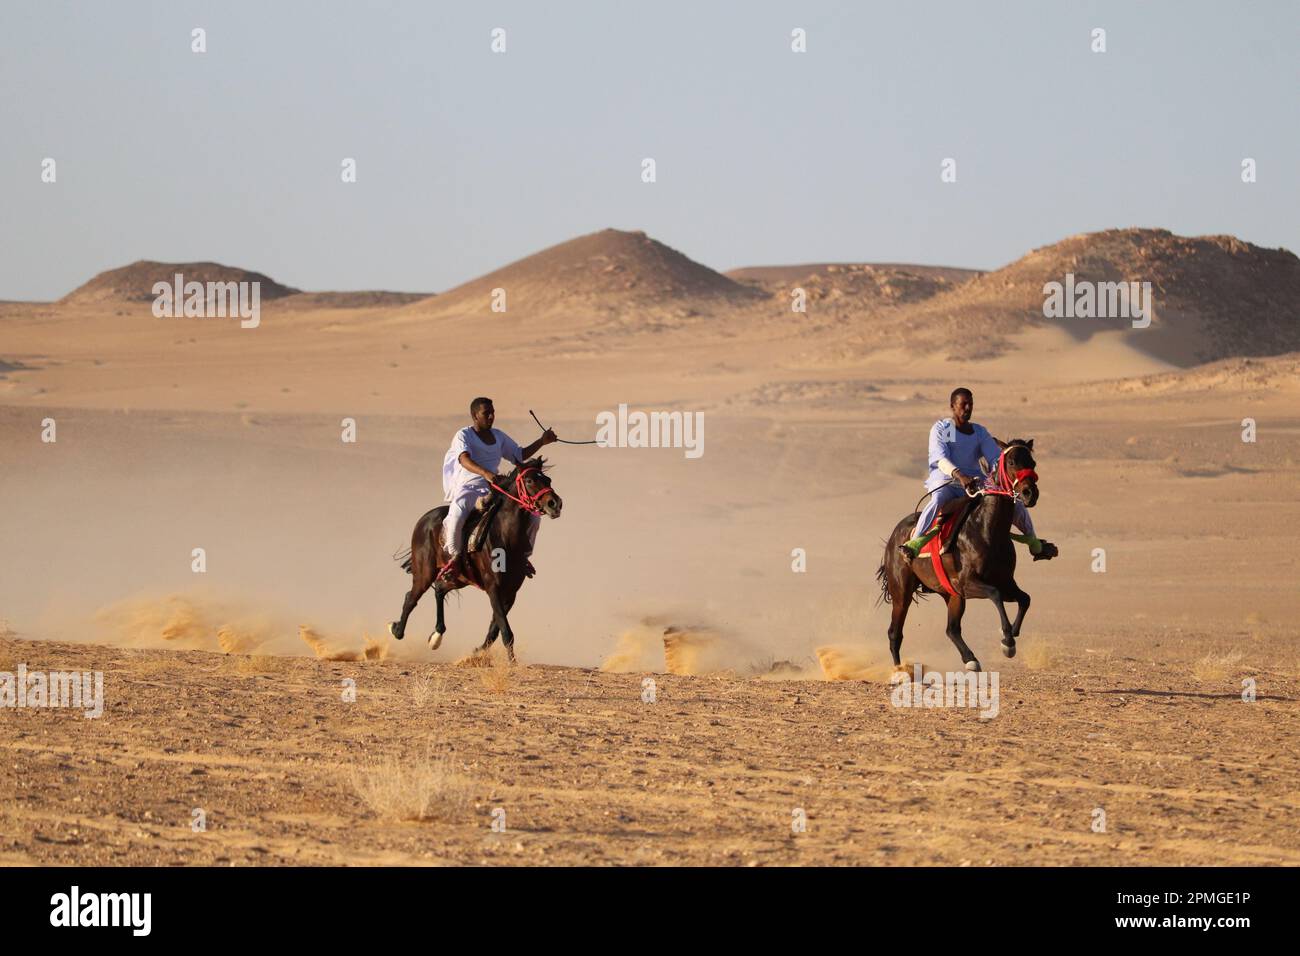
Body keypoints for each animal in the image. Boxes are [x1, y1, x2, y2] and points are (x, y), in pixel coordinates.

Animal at [389, 458, 562, 663]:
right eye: (529, 480)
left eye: (548, 480)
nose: (554, 503)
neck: (505, 537)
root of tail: (424, 520)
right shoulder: (493, 588)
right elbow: (506, 630)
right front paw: (512, 662)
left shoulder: (511, 591)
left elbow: (495, 629)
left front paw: (477, 652)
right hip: (425, 572)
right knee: (411, 597)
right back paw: (397, 630)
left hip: (459, 578)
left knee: (439, 589)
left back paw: (436, 636)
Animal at [875, 440, 1045, 672]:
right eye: (1011, 462)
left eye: (1032, 462)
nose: (1029, 494)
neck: (987, 529)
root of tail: (894, 538)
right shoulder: (967, 584)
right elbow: (995, 595)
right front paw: (1007, 640)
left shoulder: (1005, 582)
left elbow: (1025, 599)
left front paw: (1011, 635)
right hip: (902, 591)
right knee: (895, 633)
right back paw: (900, 670)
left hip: (950, 594)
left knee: (952, 629)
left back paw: (970, 659)